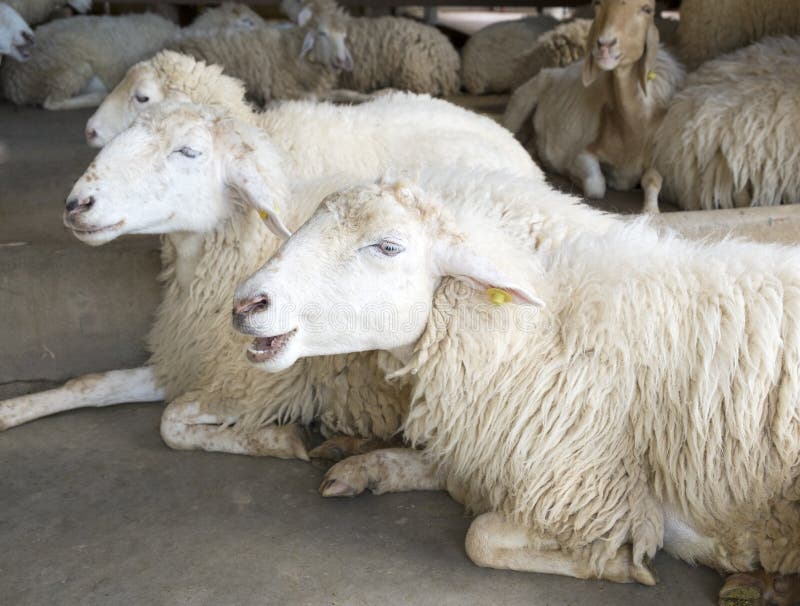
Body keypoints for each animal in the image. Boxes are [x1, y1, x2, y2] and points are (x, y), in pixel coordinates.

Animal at [0, 80, 543, 460]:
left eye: (189, 151)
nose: (76, 204)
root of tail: (492, 126)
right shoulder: (192, 356)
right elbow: (89, 384)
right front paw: (12, 411)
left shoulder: (252, 384)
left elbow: (171, 422)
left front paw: (280, 440)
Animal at [233, 168, 800, 604]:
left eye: (388, 246)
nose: (245, 303)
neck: (542, 326)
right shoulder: (496, 444)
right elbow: (443, 469)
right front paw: (364, 466)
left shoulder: (593, 494)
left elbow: (480, 537)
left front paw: (616, 562)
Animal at [503, 0, 684, 214]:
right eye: (598, 4)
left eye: (647, 9)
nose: (605, 44)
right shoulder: (581, 153)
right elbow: (596, 185)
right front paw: (573, 177)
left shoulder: (658, 158)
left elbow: (653, 179)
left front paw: (650, 210)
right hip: (521, 101)